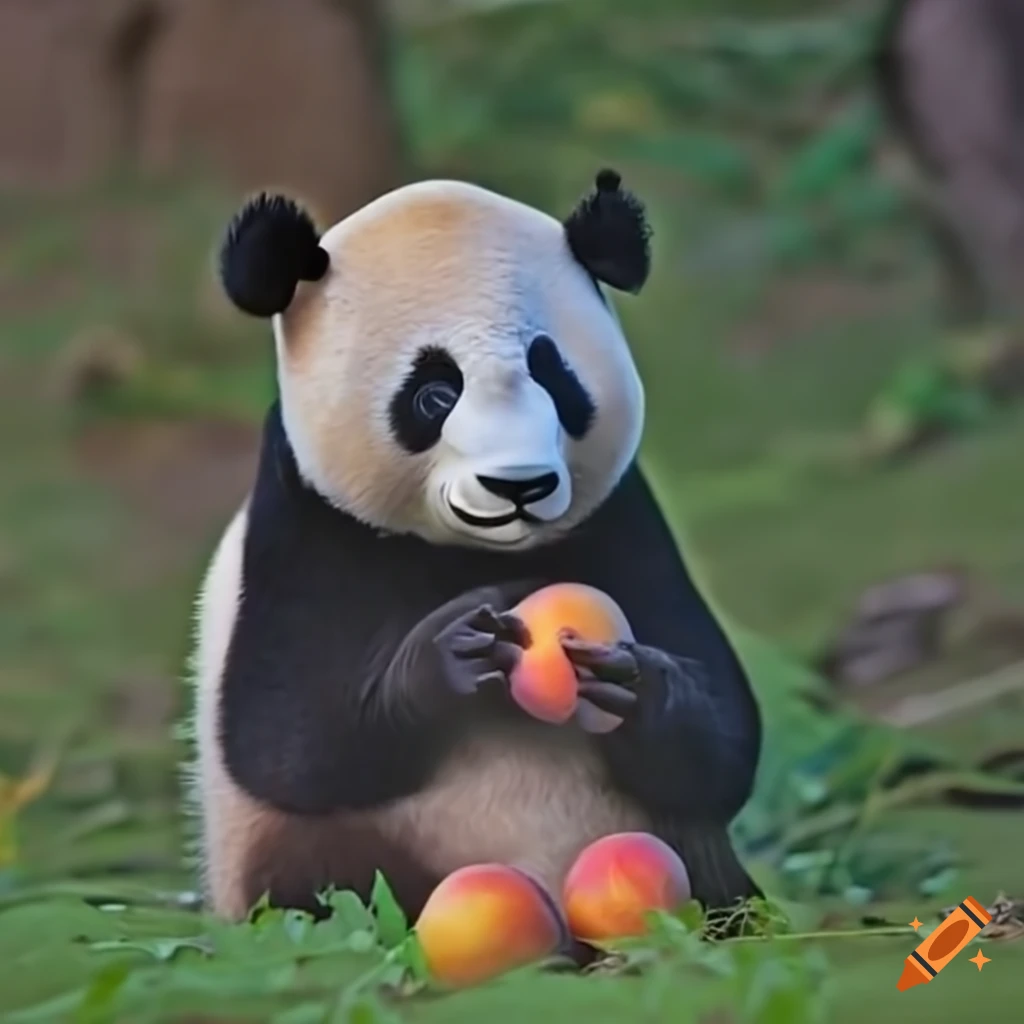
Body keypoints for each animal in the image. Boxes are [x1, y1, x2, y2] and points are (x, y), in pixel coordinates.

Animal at [185, 169, 763, 934]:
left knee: (707, 860)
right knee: (329, 885)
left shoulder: (623, 519)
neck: (477, 551)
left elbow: (724, 737)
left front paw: (635, 683)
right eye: (435, 393)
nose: (520, 485)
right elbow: (285, 739)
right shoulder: (300, 521)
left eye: (554, 376)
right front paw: (447, 655)